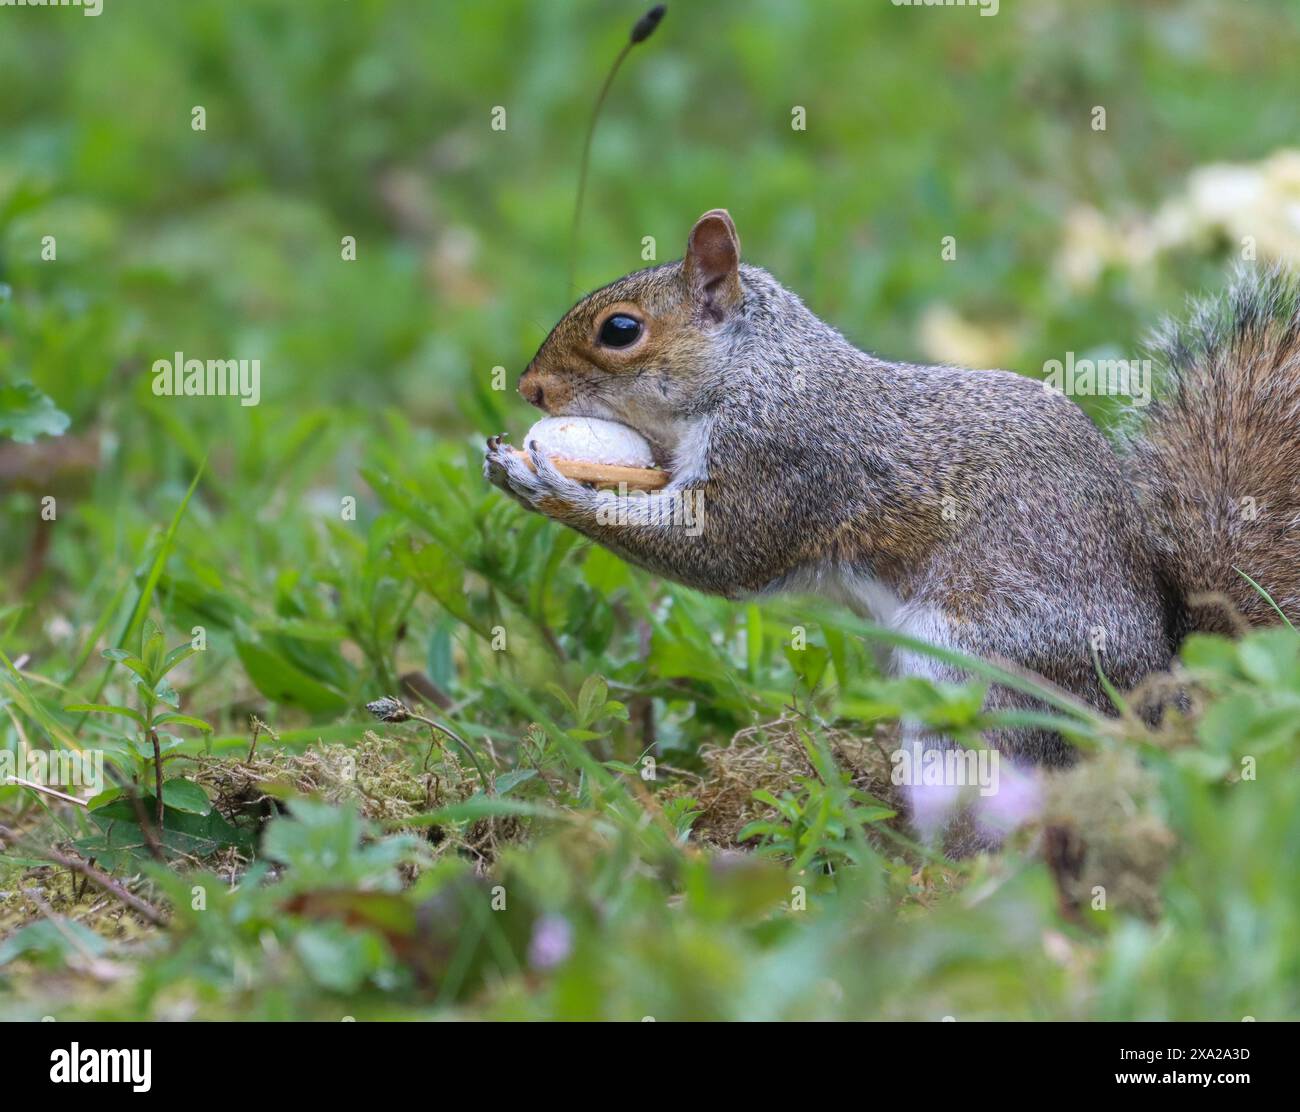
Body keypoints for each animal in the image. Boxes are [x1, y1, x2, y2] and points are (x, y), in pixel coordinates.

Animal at [484, 207, 1300, 778]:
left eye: (621, 330)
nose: (528, 388)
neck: (754, 370)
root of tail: (1158, 692)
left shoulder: (787, 458)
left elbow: (717, 551)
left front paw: (546, 485)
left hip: (980, 668)